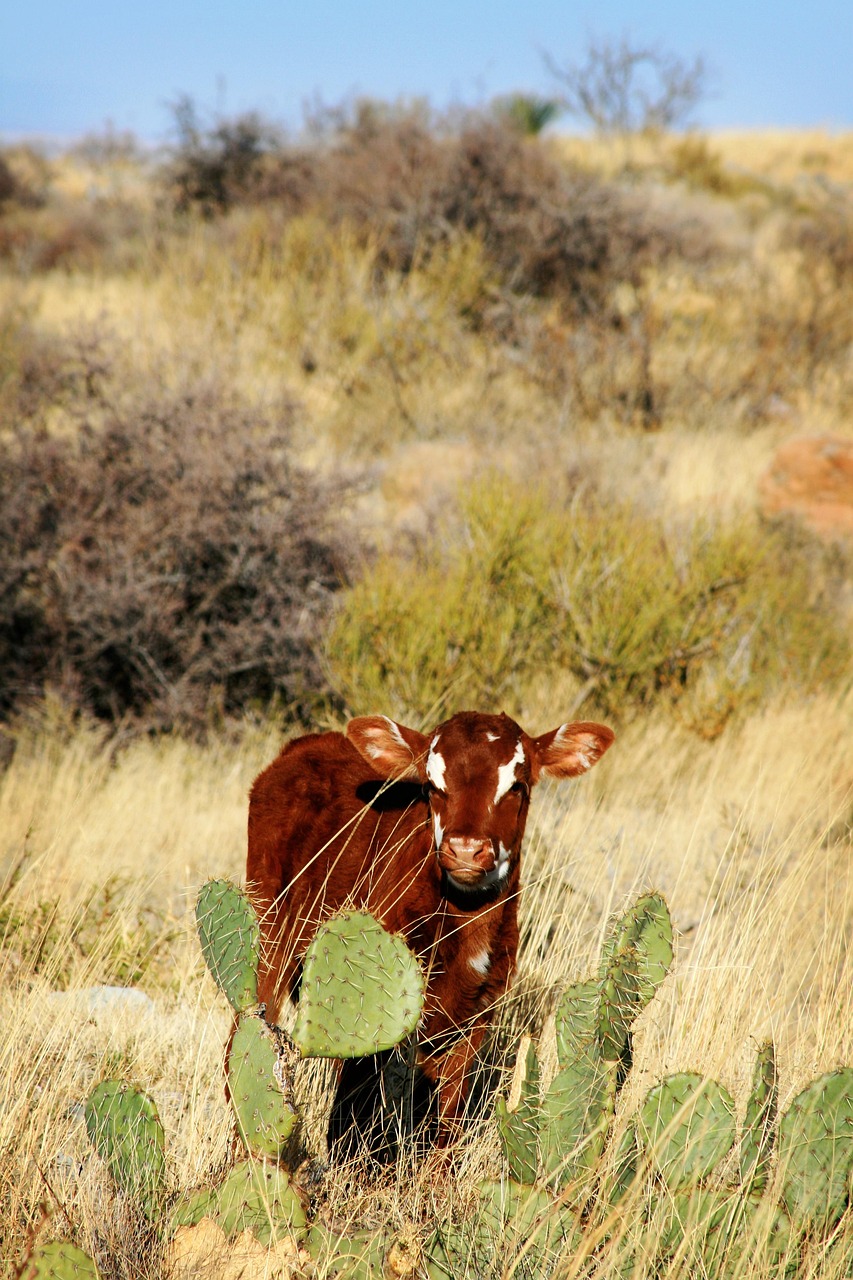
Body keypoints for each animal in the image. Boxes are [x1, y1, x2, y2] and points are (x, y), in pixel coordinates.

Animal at [246, 710, 614, 1153]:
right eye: (432, 786)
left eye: (517, 786)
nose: (466, 848)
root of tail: (305, 744)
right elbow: (353, 1111)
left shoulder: (479, 1014)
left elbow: (448, 1118)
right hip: (267, 928)